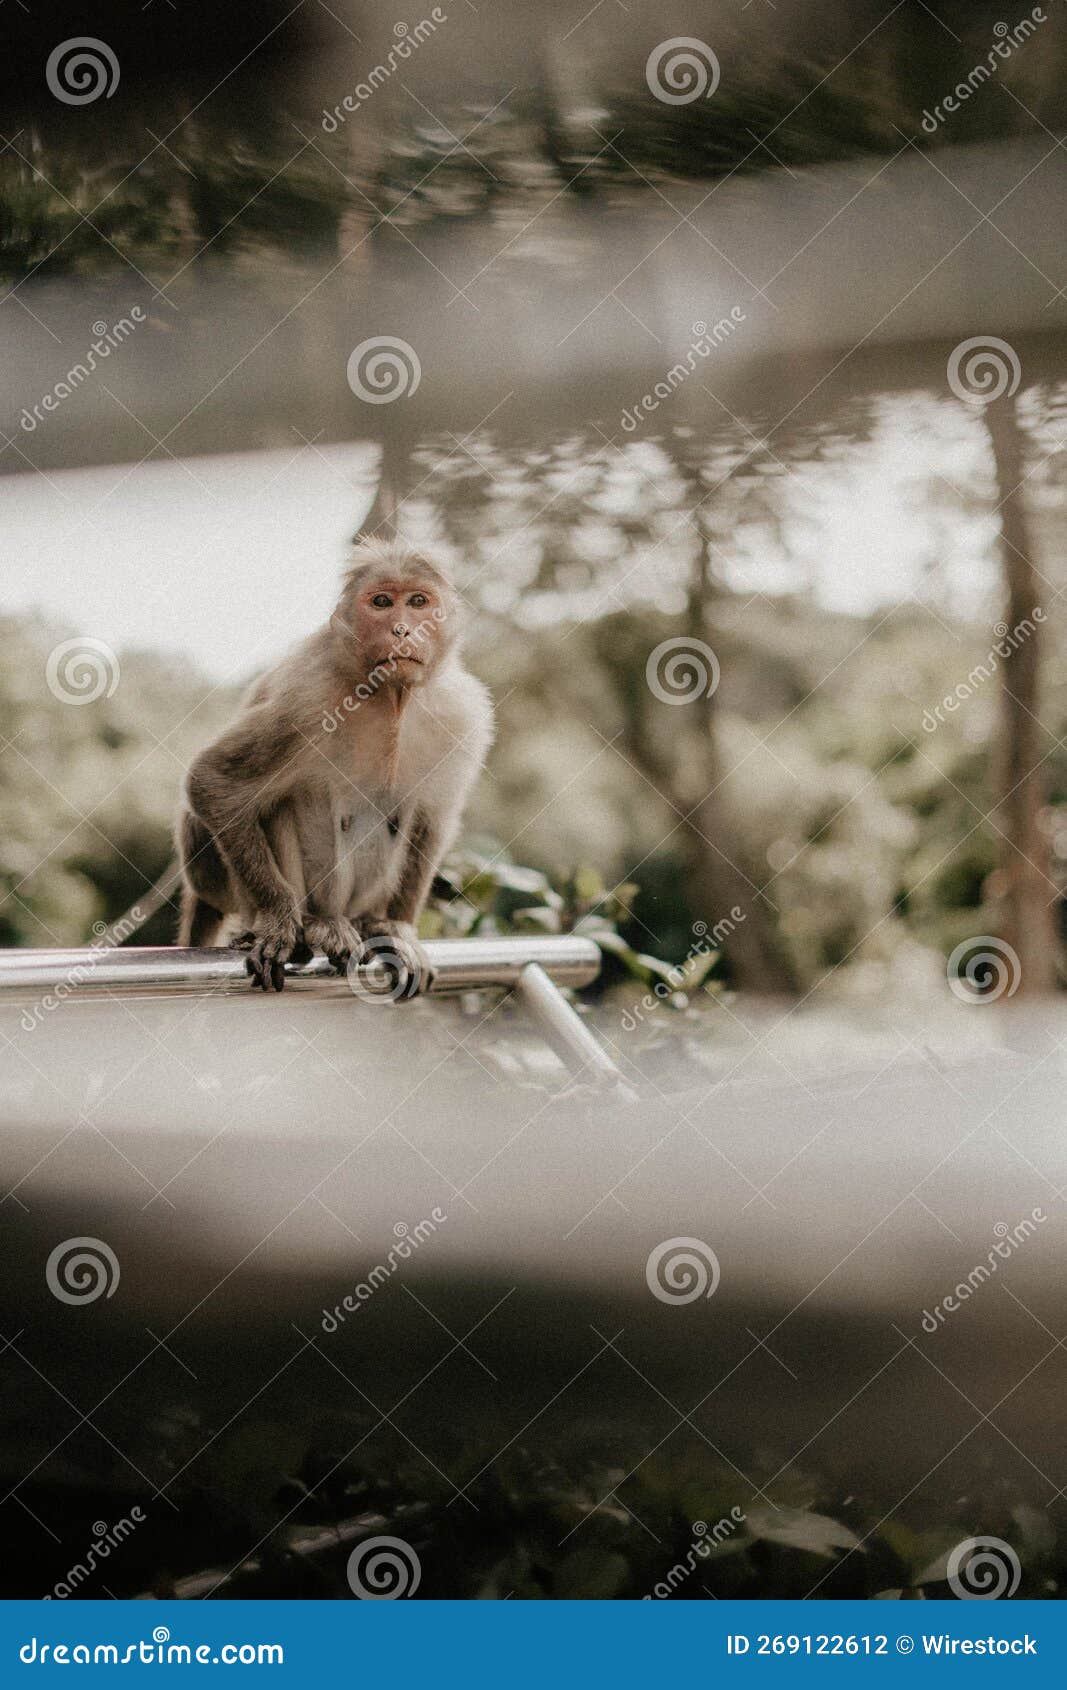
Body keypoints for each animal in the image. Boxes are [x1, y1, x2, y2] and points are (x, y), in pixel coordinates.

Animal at [175, 540, 494, 992]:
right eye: (381, 603)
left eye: (418, 602)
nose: (402, 629)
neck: (388, 697)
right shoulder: (307, 699)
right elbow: (214, 782)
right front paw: (280, 917)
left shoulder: (465, 714)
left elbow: (434, 820)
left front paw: (398, 926)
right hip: (224, 883)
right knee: (269, 805)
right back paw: (312, 923)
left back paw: (367, 923)